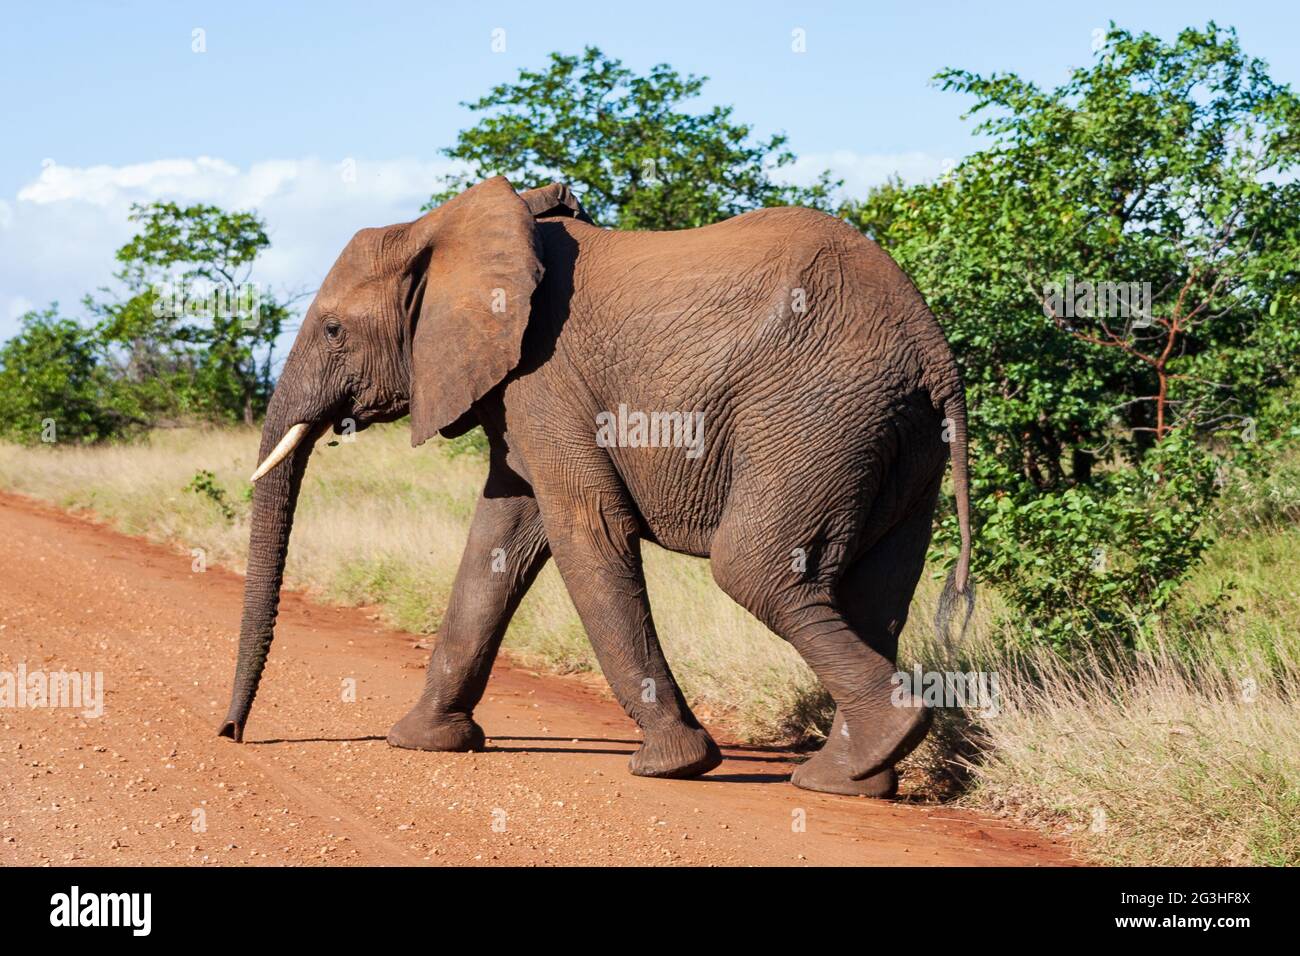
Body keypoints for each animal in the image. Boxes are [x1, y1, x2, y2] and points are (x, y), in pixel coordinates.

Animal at [217, 175, 973, 798]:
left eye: (334, 329)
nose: (232, 735)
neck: (444, 227)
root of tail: (933, 347)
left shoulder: (546, 377)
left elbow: (586, 527)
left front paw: (673, 765)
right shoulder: (519, 392)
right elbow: (498, 541)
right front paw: (420, 741)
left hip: (814, 415)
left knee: (755, 570)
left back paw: (873, 748)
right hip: (893, 440)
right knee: (872, 598)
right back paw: (852, 777)